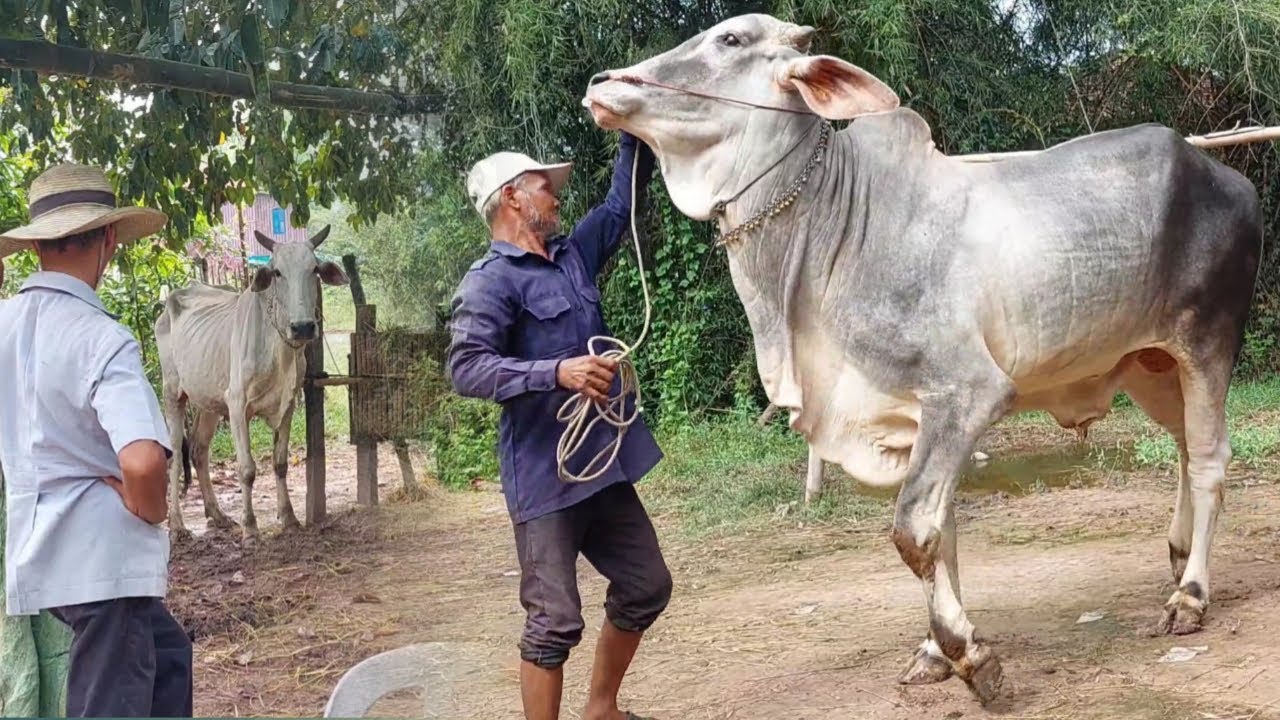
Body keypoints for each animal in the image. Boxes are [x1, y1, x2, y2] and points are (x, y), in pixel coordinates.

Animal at [155, 225, 348, 543]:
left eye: (314, 269)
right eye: (278, 272)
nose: (303, 327)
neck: (279, 351)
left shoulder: (288, 404)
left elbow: (280, 463)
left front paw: (290, 518)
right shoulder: (236, 405)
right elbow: (246, 469)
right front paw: (250, 527)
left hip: (209, 402)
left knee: (198, 449)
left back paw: (218, 515)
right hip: (172, 393)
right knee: (173, 456)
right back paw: (177, 525)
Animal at [582, 14, 1263, 705]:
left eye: (730, 40)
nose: (602, 83)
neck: (835, 223)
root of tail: (1224, 174)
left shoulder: (967, 394)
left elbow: (914, 531)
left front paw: (970, 656)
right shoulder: (913, 414)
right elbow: (943, 533)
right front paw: (937, 650)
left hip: (1206, 346)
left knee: (1210, 460)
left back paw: (1191, 594)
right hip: (1150, 365)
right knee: (1185, 447)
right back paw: (1177, 553)